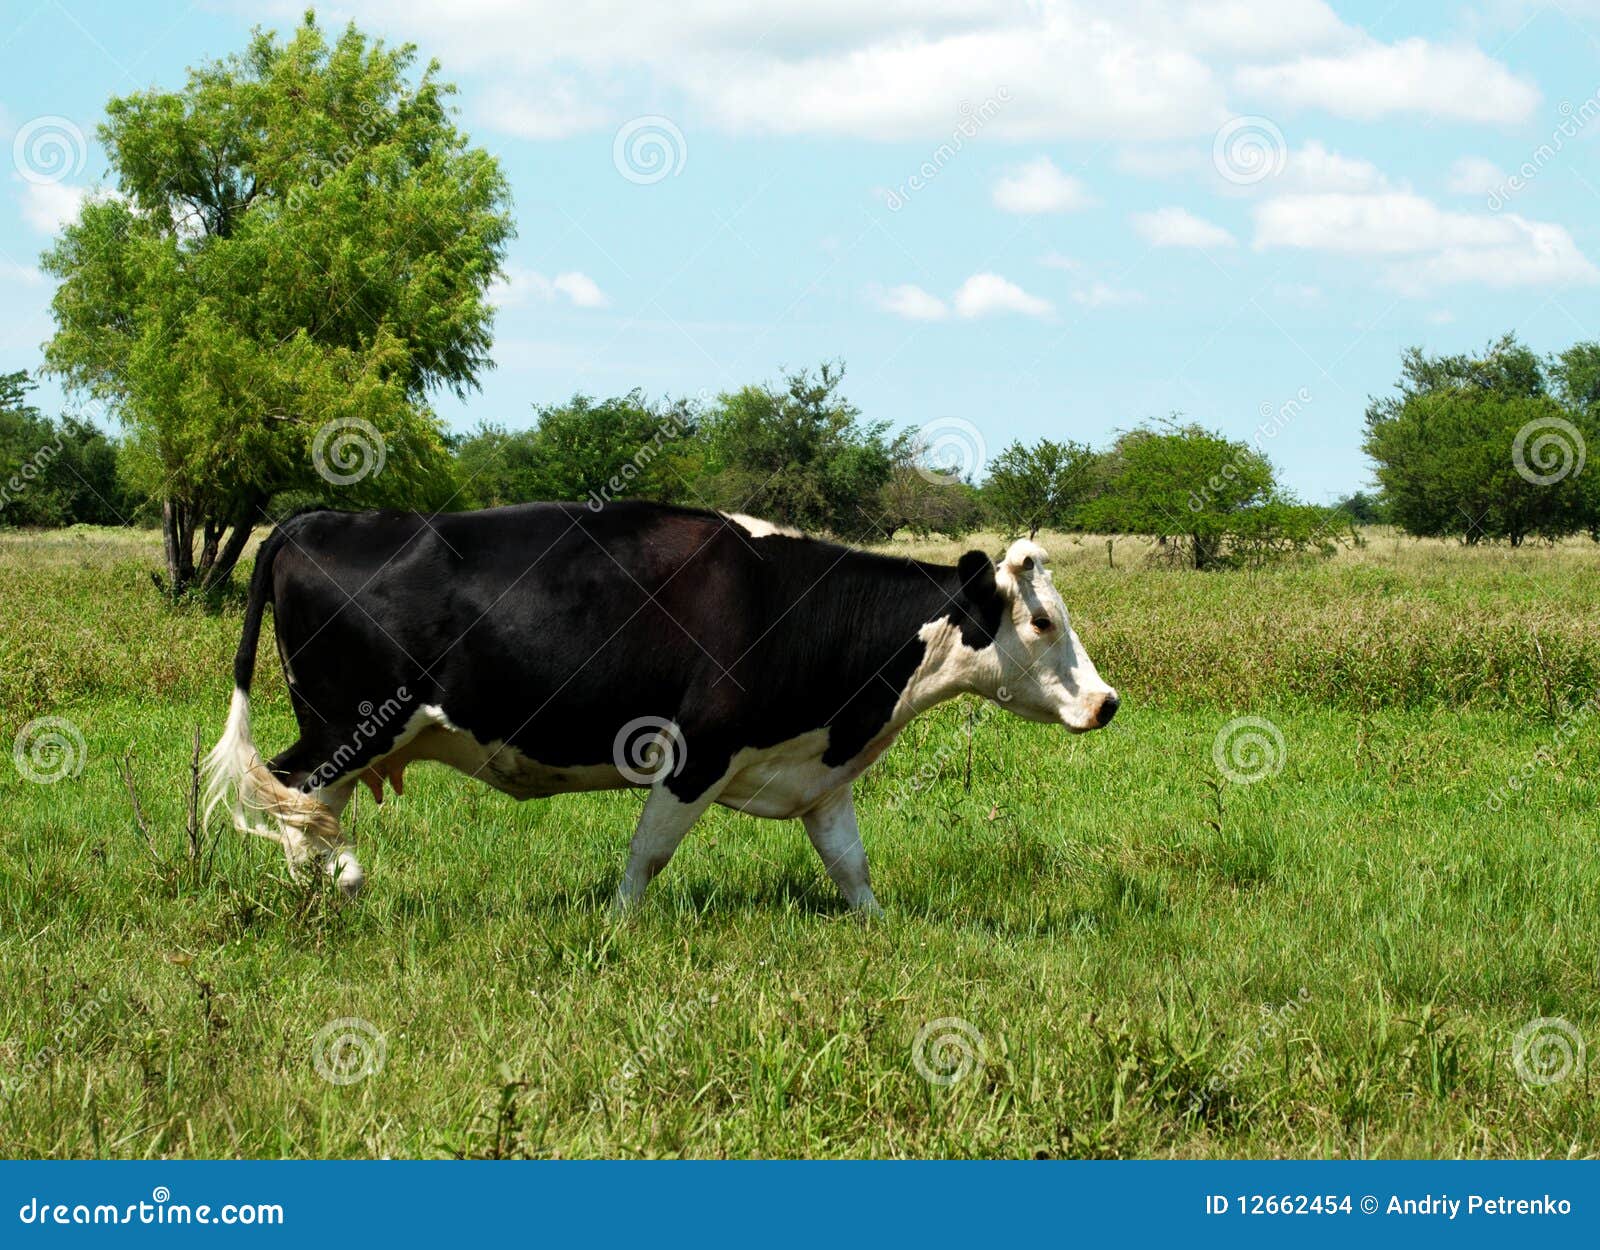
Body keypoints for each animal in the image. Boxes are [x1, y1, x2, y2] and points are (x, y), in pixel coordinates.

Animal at [204, 501, 1118, 915]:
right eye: (1041, 621)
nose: (1106, 702)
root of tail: (317, 516)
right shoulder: (696, 754)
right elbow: (648, 854)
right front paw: (619, 927)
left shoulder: (816, 772)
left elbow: (850, 866)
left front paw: (884, 928)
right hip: (345, 726)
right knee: (292, 795)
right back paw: (334, 888)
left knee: (306, 805)